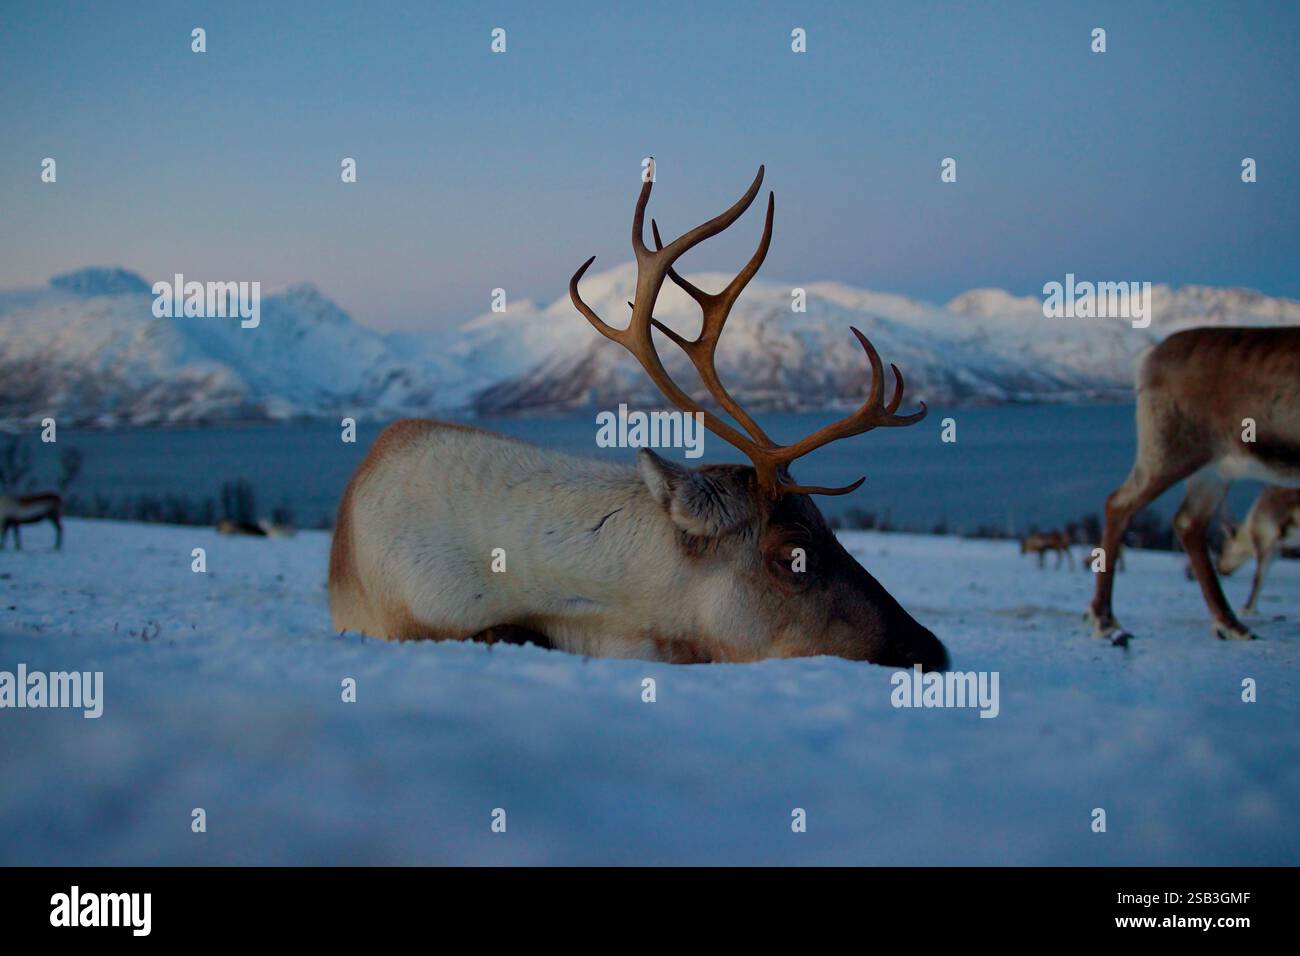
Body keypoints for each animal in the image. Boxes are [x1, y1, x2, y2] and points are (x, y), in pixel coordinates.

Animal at [1215, 485, 1300, 615]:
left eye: (1225, 546)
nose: (1220, 568)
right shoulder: (1276, 549)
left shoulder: (1264, 543)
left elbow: (1258, 578)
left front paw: (1248, 608)